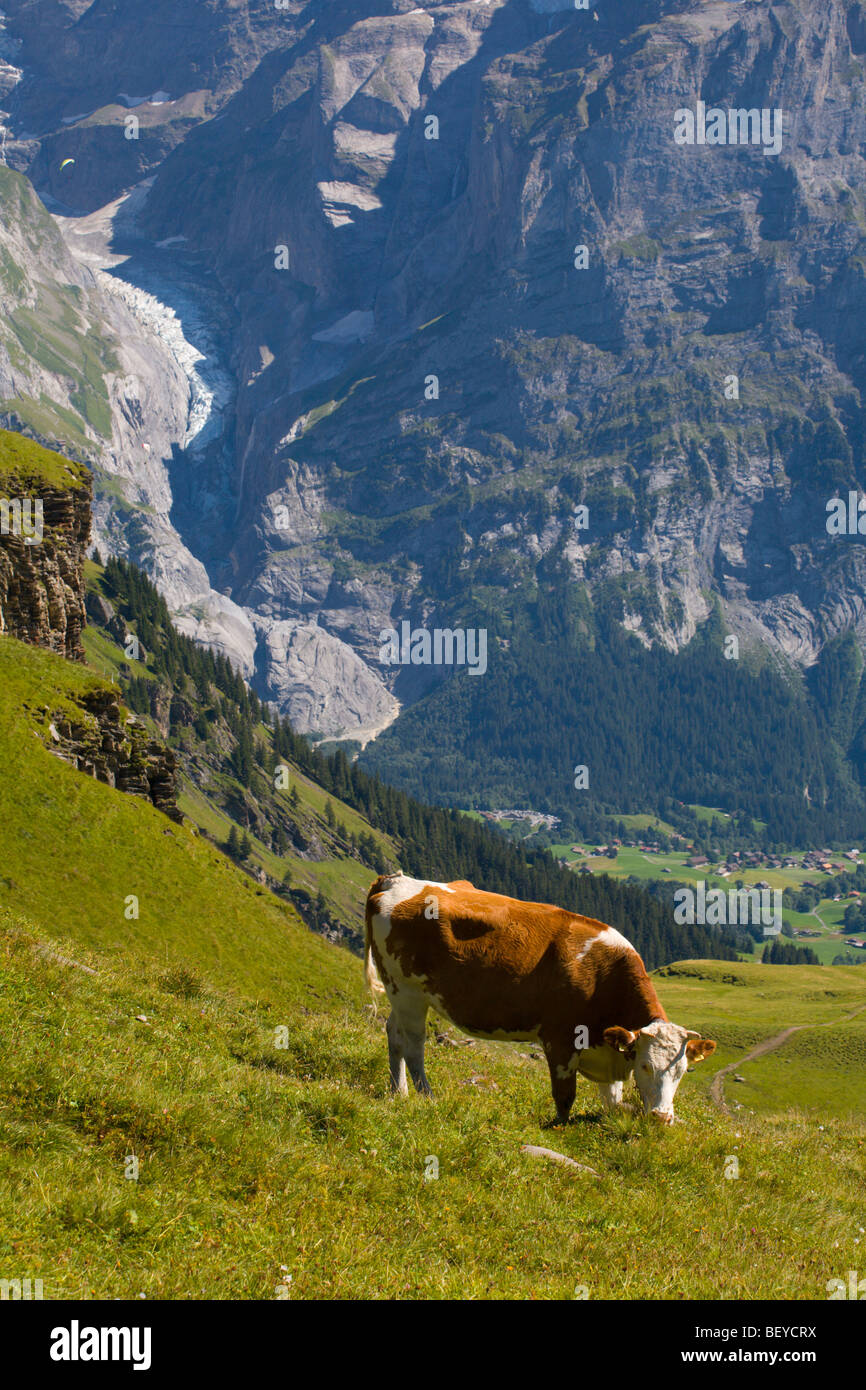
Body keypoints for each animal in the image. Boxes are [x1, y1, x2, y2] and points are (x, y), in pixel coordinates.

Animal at [364, 873, 716, 1124]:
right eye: (645, 1065)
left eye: (682, 1071)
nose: (661, 1118)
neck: (603, 975)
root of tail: (395, 880)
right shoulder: (560, 1039)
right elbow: (565, 1096)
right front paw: (559, 1127)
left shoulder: (608, 1052)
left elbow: (613, 1102)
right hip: (409, 991)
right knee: (413, 1045)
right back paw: (426, 1095)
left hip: (399, 992)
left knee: (393, 1033)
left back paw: (398, 1092)